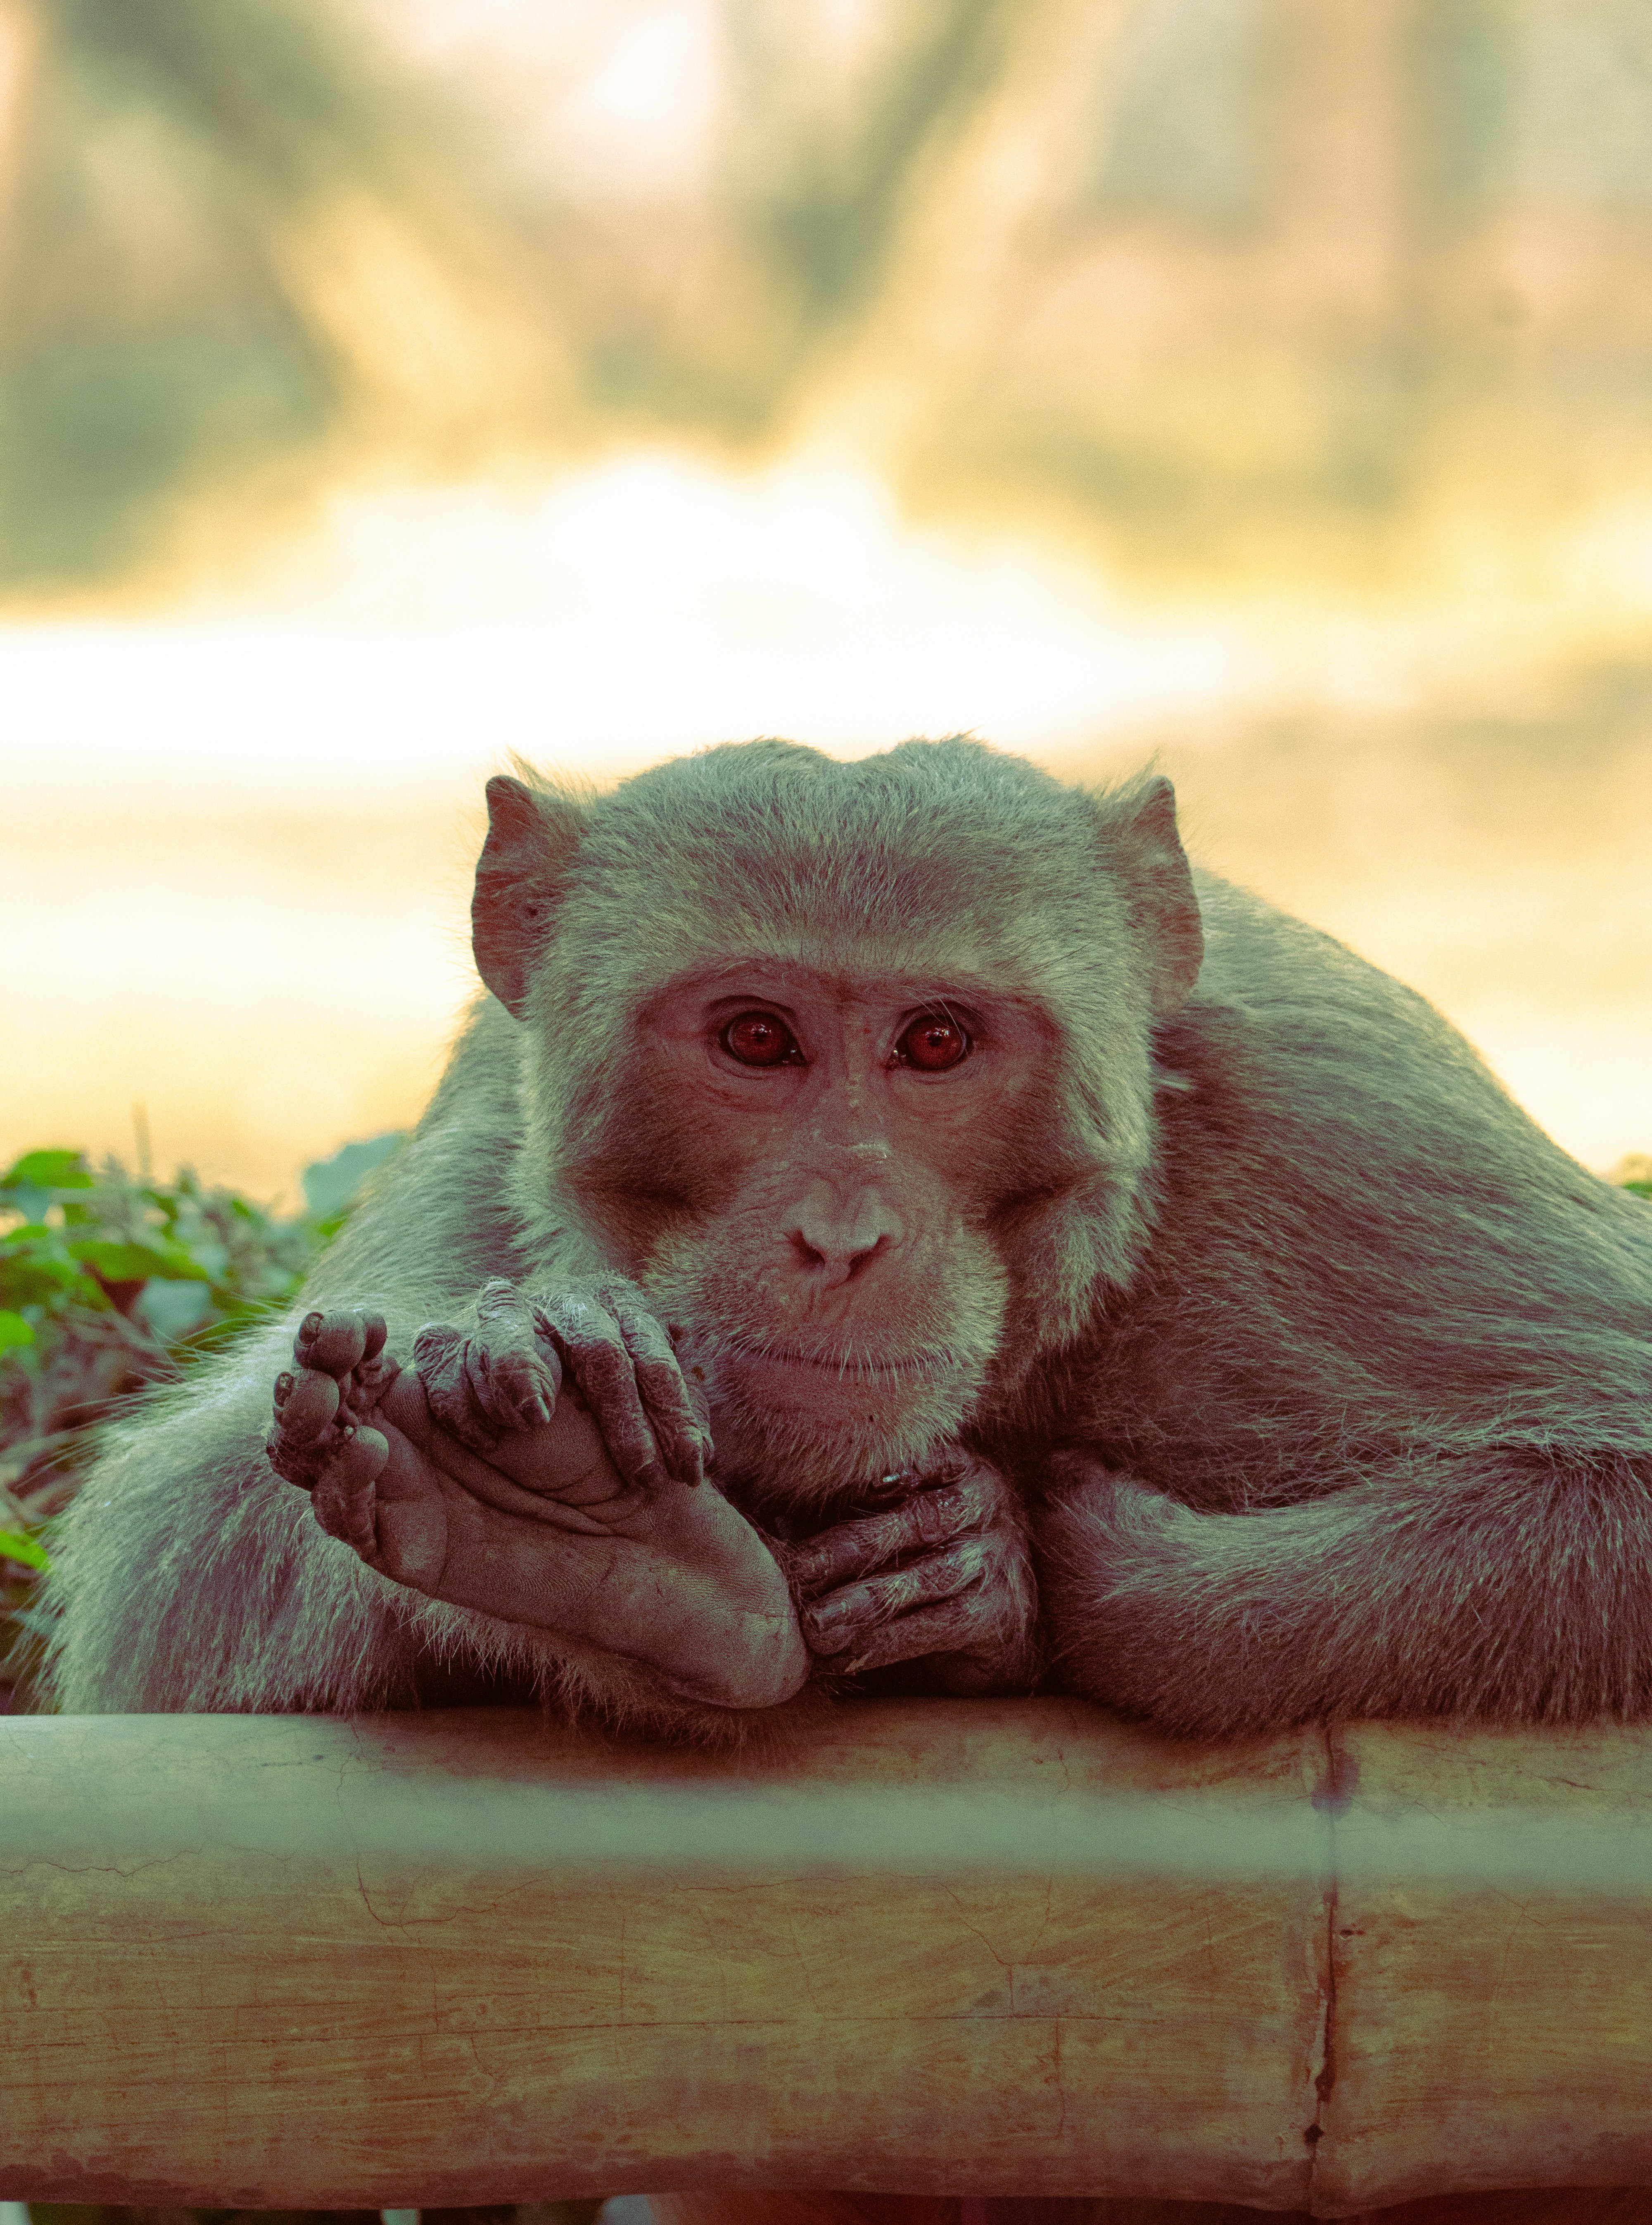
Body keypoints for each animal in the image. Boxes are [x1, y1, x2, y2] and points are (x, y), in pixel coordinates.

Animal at [43, 736, 1652, 1749]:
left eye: (935, 1039)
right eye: (757, 1037)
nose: (843, 1230)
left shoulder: (1350, 1132)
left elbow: (1619, 1487)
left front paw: (1039, 1586)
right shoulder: (481, 1163)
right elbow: (172, 1581)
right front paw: (581, 1525)